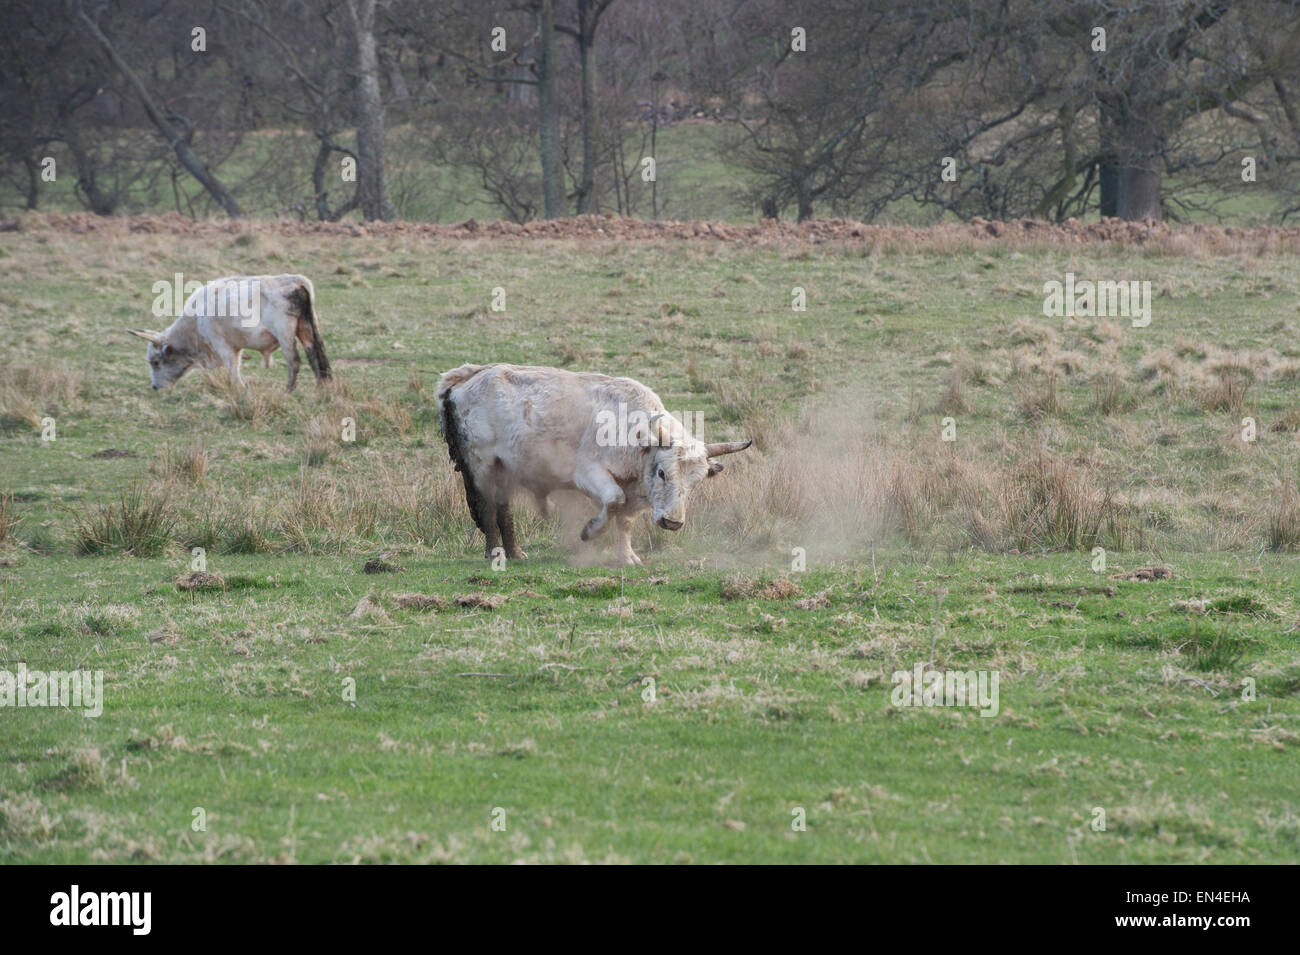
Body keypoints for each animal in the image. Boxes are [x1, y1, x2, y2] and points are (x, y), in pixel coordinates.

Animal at [127, 274, 331, 392]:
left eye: (155, 362)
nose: (155, 387)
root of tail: (296, 281)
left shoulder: (223, 345)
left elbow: (233, 369)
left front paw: (241, 390)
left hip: (285, 335)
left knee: (294, 361)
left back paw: (288, 391)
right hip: (306, 330)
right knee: (315, 355)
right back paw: (321, 387)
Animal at [436, 363, 751, 565]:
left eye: (696, 482)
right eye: (662, 472)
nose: (672, 522)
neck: (632, 432)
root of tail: (469, 376)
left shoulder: (634, 491)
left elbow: (624, 521)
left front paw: (627, 557)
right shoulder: (589, 474)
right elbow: (613, 501)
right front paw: (589, 531)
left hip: (503, 469)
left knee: (504, 509)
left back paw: (515, 552)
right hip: (482, 466)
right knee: (489, 509)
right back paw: (494, 553)